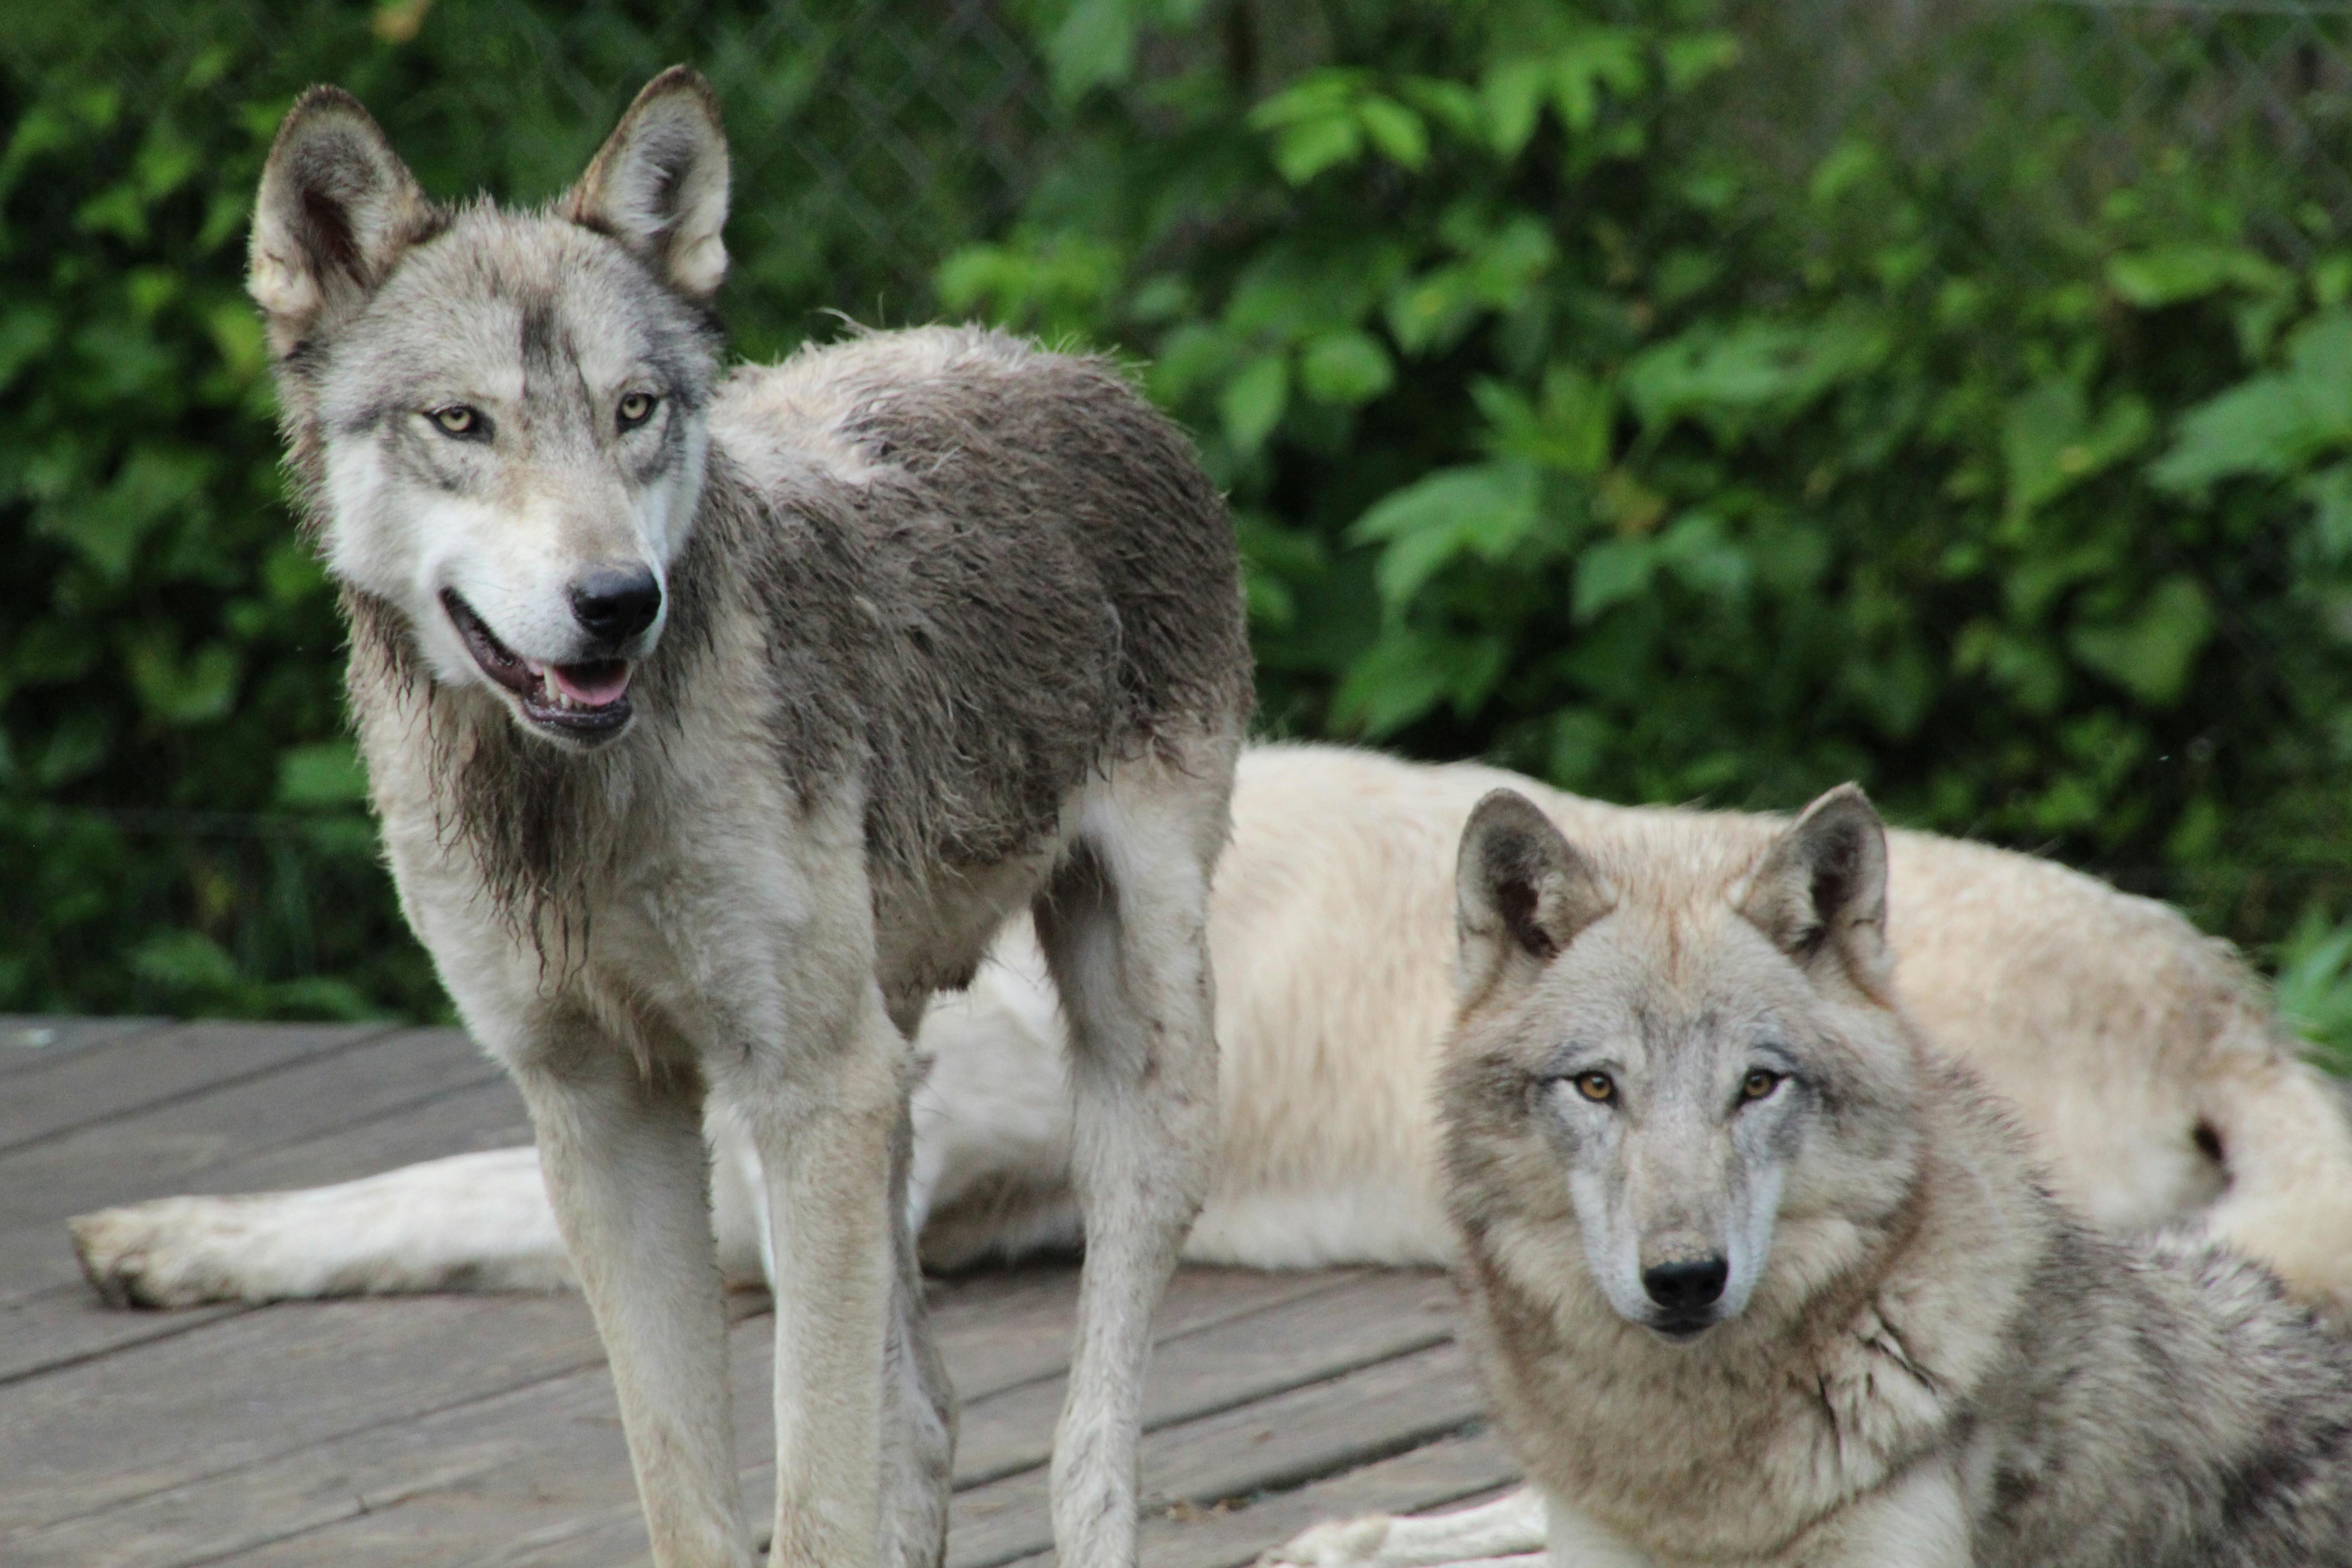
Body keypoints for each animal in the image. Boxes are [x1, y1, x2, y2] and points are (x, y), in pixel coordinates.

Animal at [238, 67, 1250, 1568]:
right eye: (464, 424)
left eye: (635, 410)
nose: (616, 603)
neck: (575, 810)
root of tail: (1073, 366)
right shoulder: (605, 1113)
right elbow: (693, 1490)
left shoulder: (802, 1088)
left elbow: (815, 1497)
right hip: (872, 1095)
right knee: (931, 1420)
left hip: (1126, 1071)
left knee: (1087, 1449)